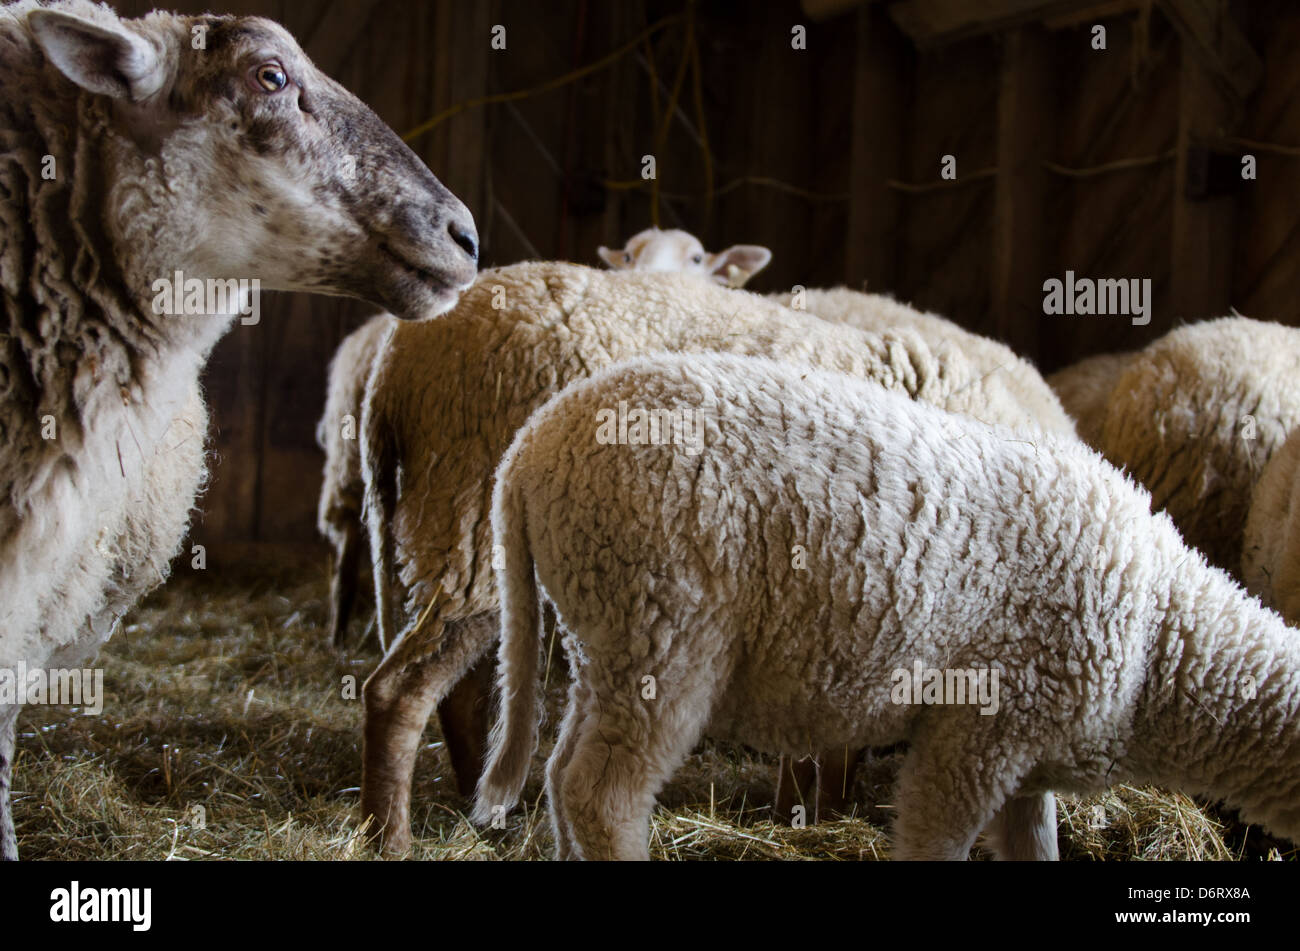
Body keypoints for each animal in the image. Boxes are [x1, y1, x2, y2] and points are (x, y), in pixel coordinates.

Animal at [357, 261, 1075, 853]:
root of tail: (394, 366)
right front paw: (816, 808)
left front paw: (802, 809)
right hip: (472, 521)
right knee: (398, 690)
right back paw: (389, 837)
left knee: (454, 688)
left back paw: (461, 801)